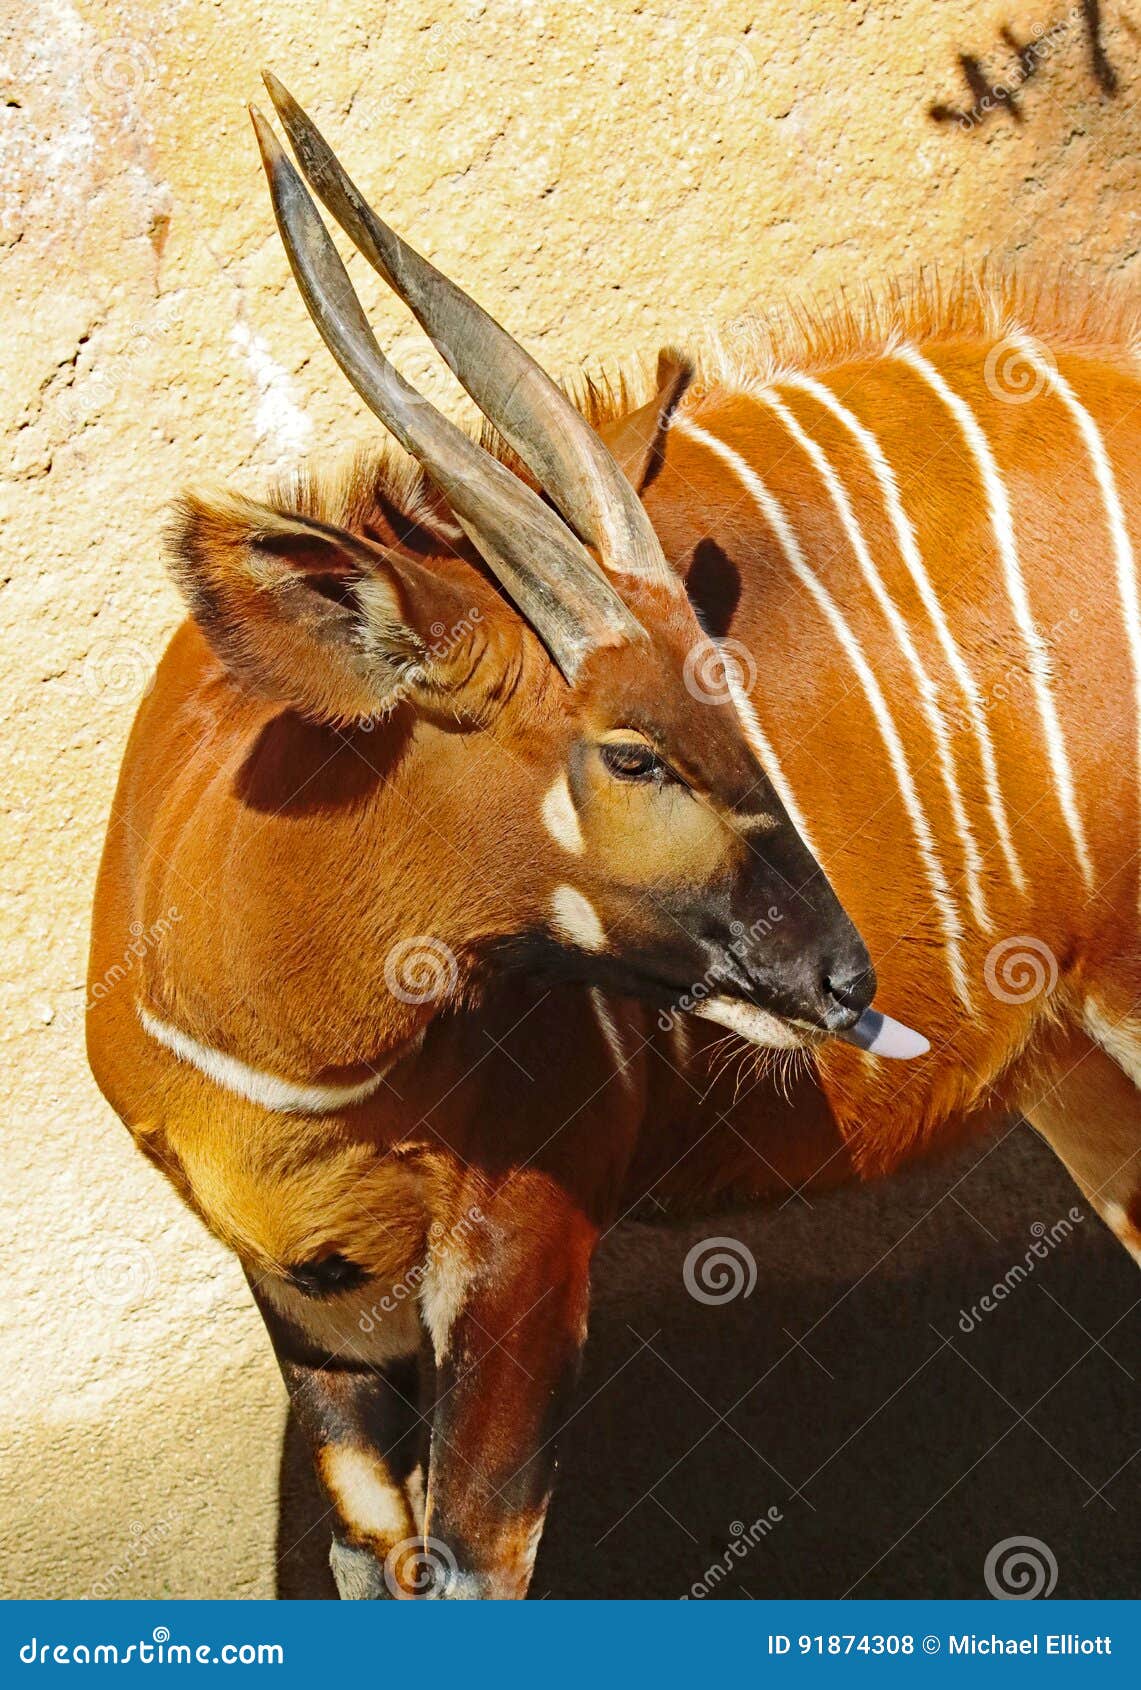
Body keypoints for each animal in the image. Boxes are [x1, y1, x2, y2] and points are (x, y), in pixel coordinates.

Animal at [87, 76, 1140, 1600]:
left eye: (726, 685)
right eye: (631, 750)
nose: (846, 979)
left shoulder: (527, 1248)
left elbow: (474, 1566)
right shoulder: (309, 1303)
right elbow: (371, 1555)